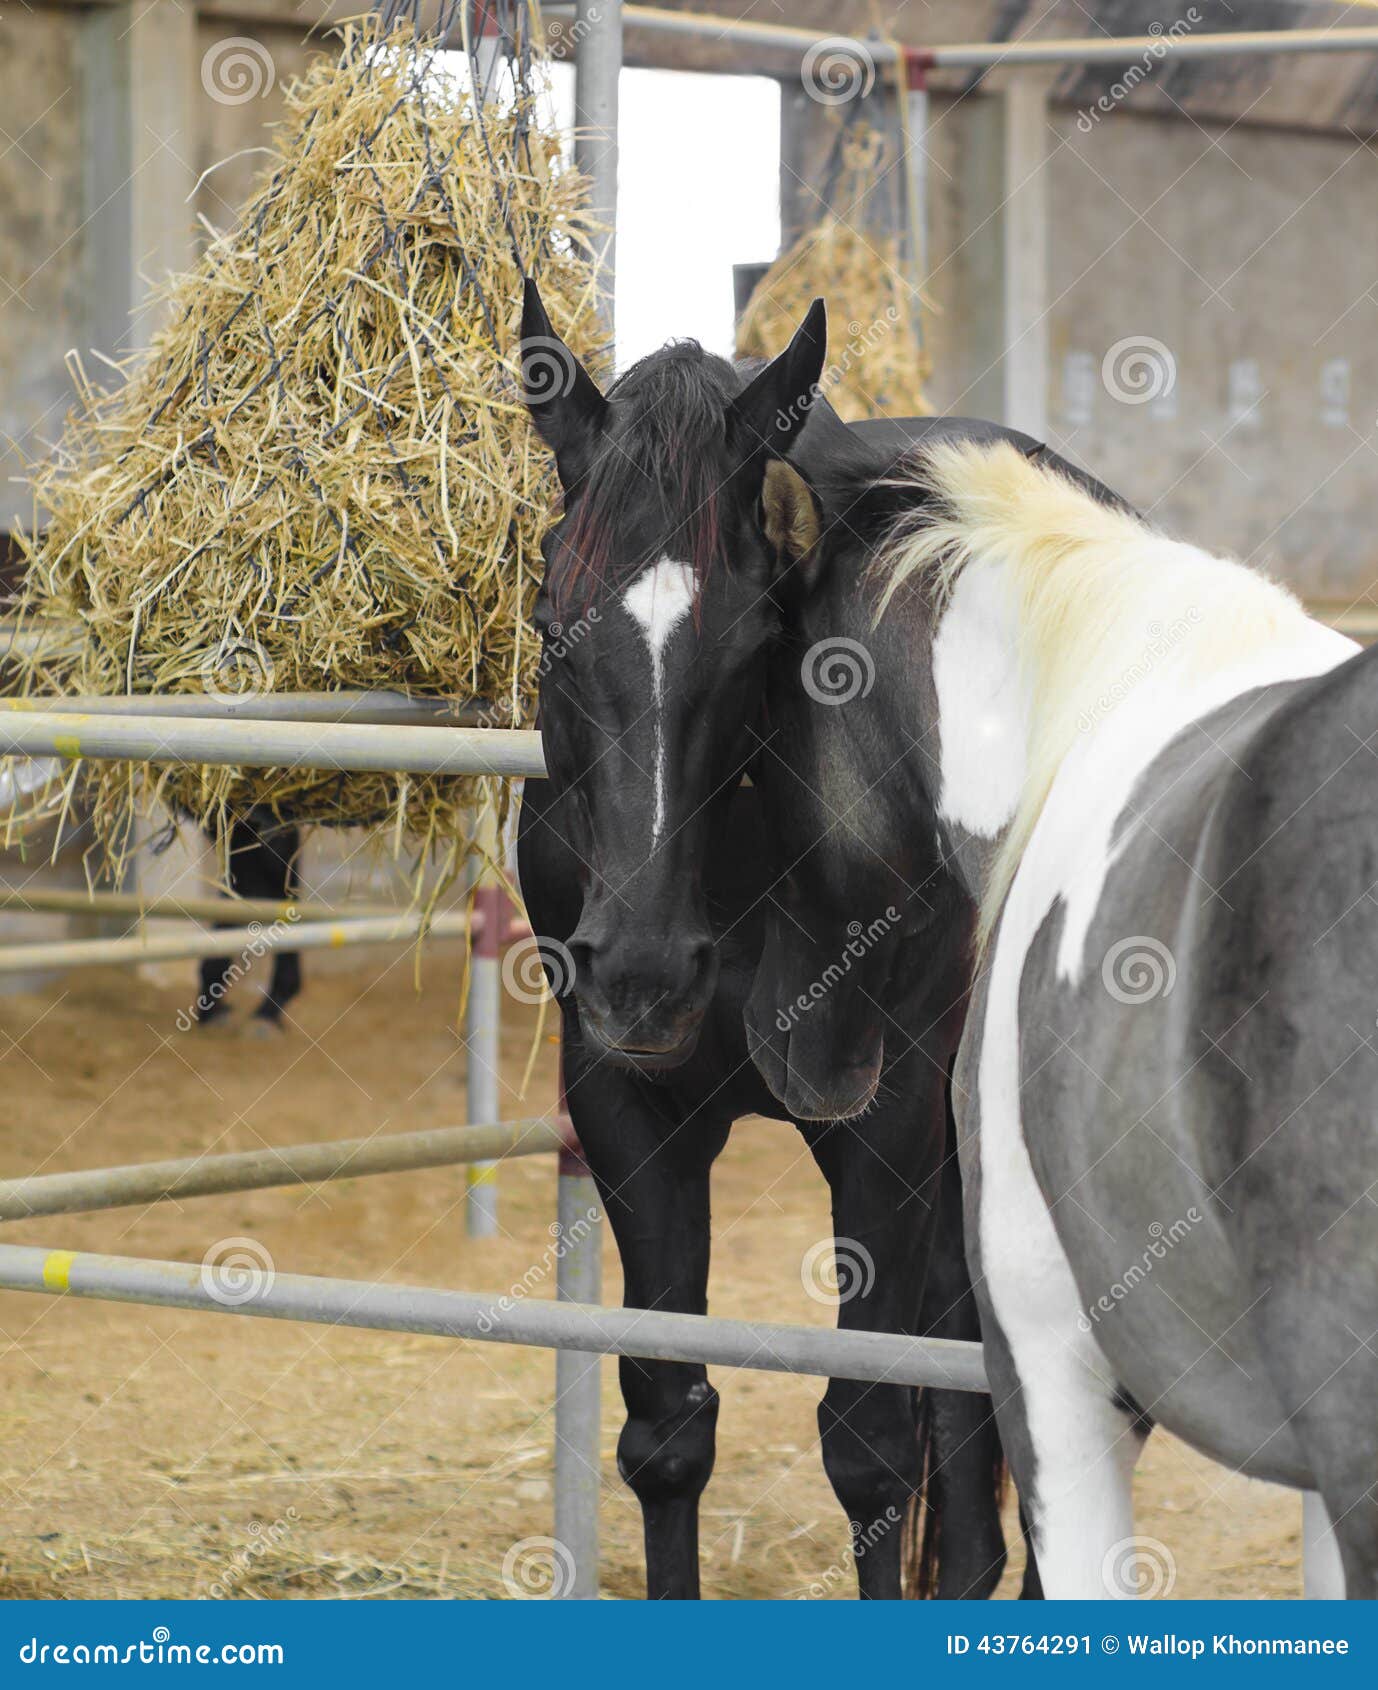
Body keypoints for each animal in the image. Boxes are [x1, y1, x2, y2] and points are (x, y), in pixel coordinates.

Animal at [514, 280, 1033, 1600]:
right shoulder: (626, 1107)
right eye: (551, 615)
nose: (643, 971)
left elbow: (867, 1443)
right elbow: (666, 1427)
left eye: (756, 634)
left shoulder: (885, 1119)